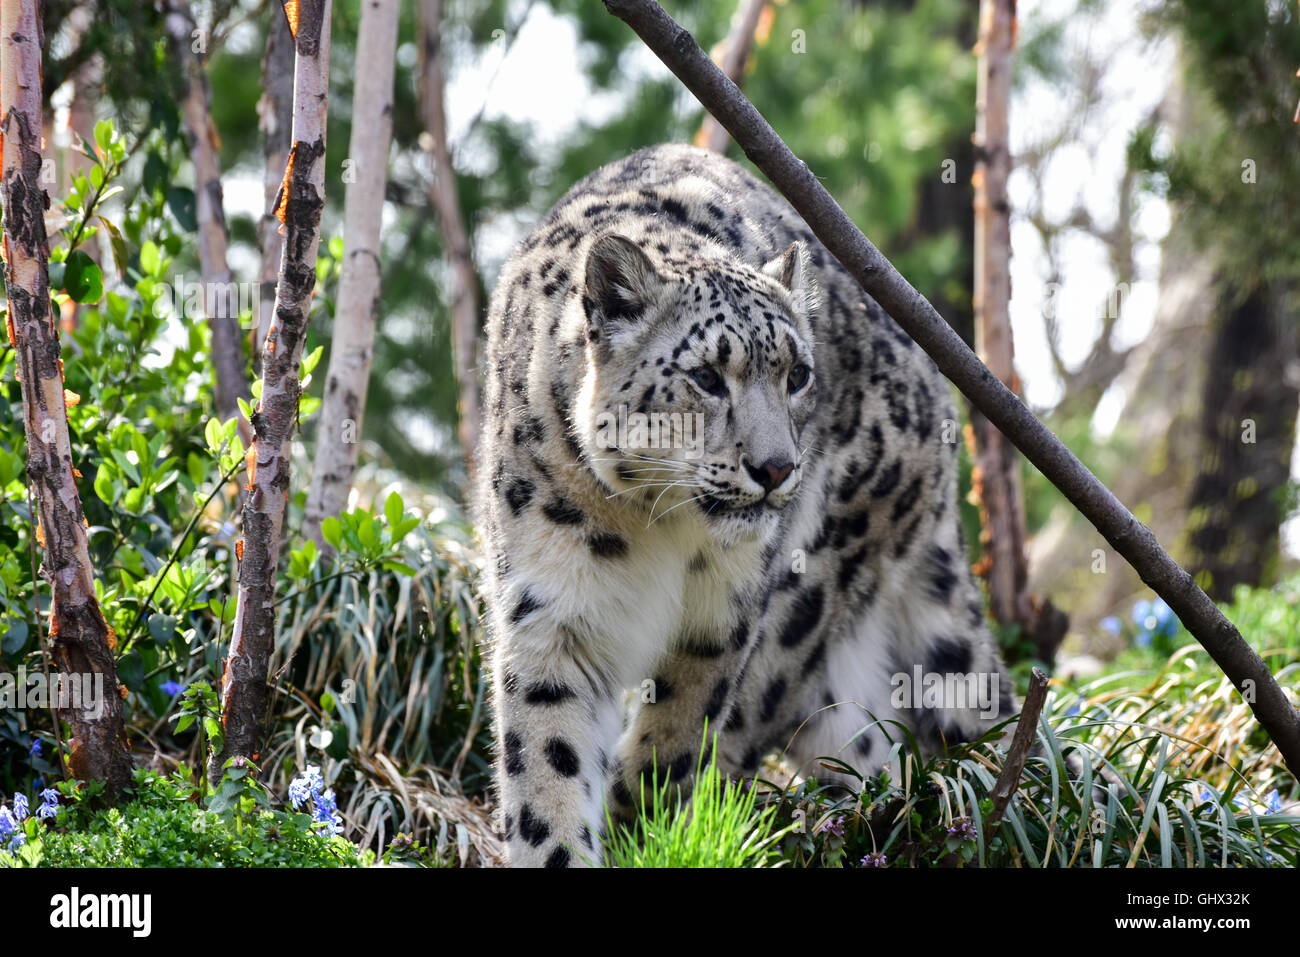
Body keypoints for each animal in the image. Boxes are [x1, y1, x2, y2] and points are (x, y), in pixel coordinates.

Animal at [475, 143, 1014, 867]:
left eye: (799, 375)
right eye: (705, 376)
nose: (776, 466)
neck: (650, 526)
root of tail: (935, 391)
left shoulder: (725, 619)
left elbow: (677, 735)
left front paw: (640, 824)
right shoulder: (551, 611)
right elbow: (546, 761)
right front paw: (565, 844)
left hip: (804, 601)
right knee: (865, 747)